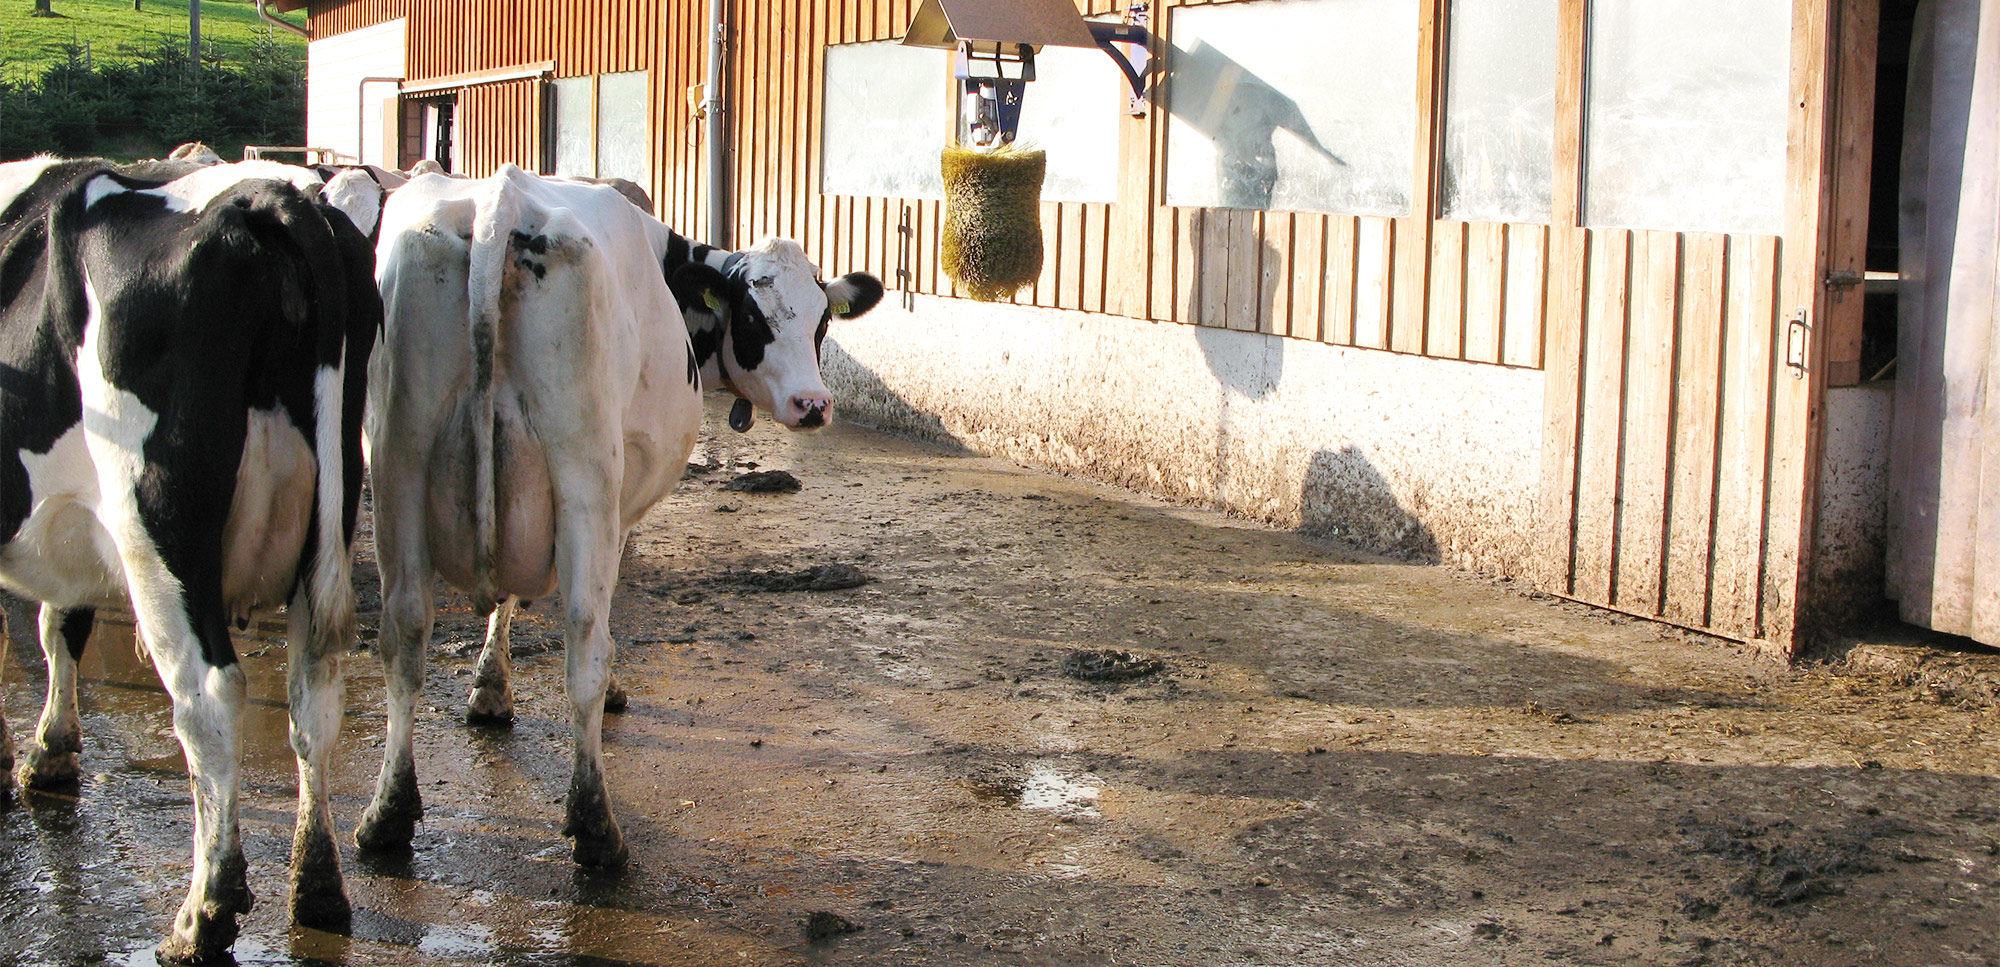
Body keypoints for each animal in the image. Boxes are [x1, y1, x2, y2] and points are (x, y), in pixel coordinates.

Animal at [0, 156, 377, 961]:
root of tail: (262, 200)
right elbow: (61, 622)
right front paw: (52, 748)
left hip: (154, 525)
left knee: (208, 696)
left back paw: (204, 911)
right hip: (327, 519)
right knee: (314, 690)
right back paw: (318, 886)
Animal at [354, 164, 879, 869]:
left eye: (823, 320)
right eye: (751, 314)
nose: (813, 404)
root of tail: (501, 200)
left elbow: (506, 602)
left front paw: (489, 689)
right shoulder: (622, 488)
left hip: (398, 465)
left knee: (404, 633)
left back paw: (386, 815)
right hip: (584, 477)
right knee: (584, 642)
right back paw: (596, 825)